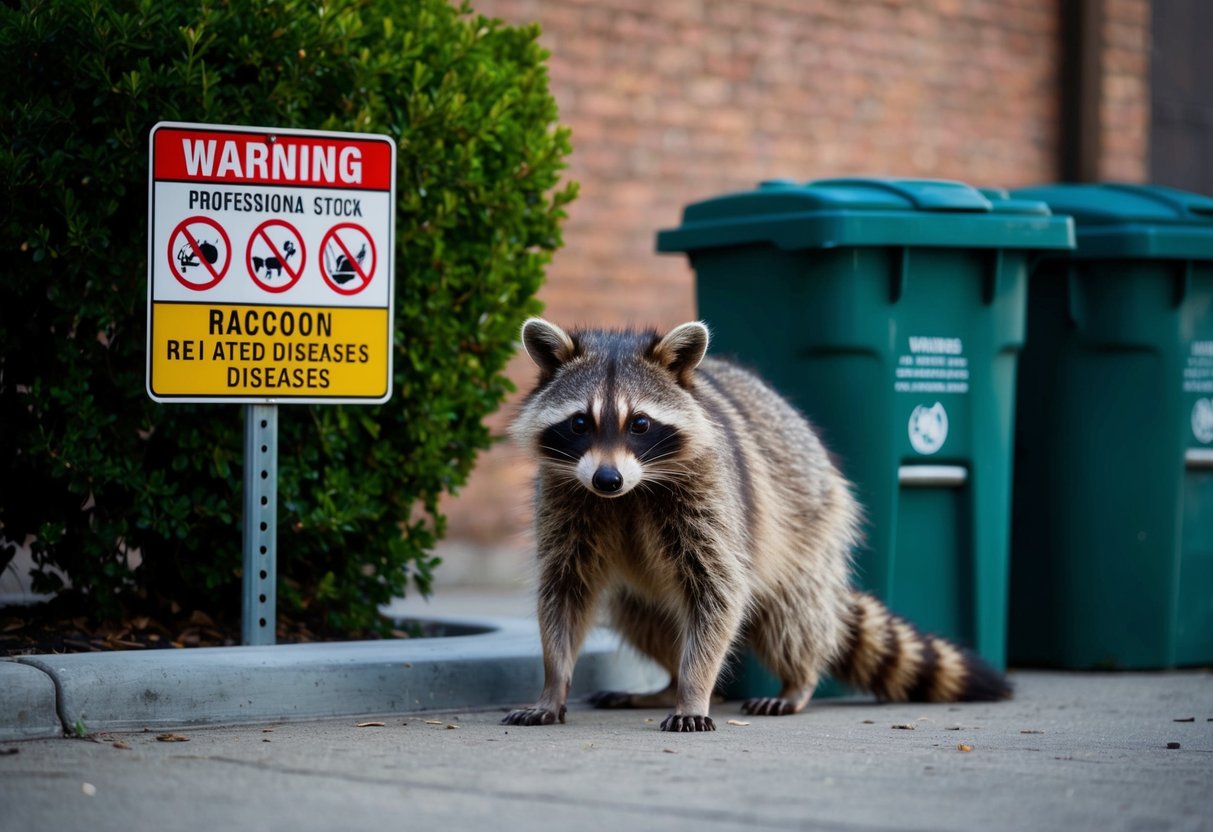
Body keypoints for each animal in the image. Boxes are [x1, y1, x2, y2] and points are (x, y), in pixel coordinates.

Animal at [502, 318, 1011, 733]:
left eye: (640, 424)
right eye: (580, 423)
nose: (607, 479)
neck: (631, 492)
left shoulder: (713, 494)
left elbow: (720, 591)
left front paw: (695, 689)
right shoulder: (565, 497)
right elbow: (563, 591)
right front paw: (554, 683)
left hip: (811, 520)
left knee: (792, 617)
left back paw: (796, 682)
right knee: (641, 615)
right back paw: (666, 683)